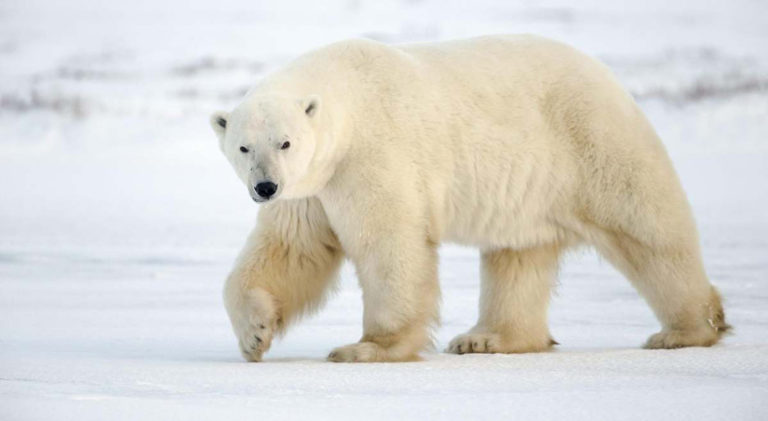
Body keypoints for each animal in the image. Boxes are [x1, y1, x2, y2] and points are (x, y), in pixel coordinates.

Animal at [209, 35, 729, 363]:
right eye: (244, 147)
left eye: (285, 142)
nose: (264, 187)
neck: (348, 100)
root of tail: (609, 78)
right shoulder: (313, 187)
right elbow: (292, 250)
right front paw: (254, 335)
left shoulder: (371, 157)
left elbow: (389, 245)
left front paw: (367, 347)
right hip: (532, 190)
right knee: (517, 256)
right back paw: (488, 339)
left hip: (591, 141)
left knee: (649, 230)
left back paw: (686, 329)